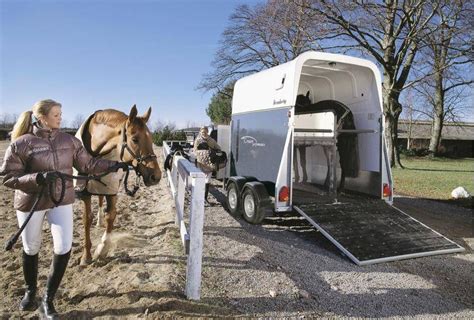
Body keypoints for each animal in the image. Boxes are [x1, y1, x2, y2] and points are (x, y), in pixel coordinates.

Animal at [75, 105, 161, 264]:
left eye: (151, 138)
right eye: (135, 139)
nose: (156, 176)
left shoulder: (111, 188)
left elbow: (111, 216)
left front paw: (101, 249)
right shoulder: (84, 192)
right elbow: (86, 219)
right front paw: (86, 256)